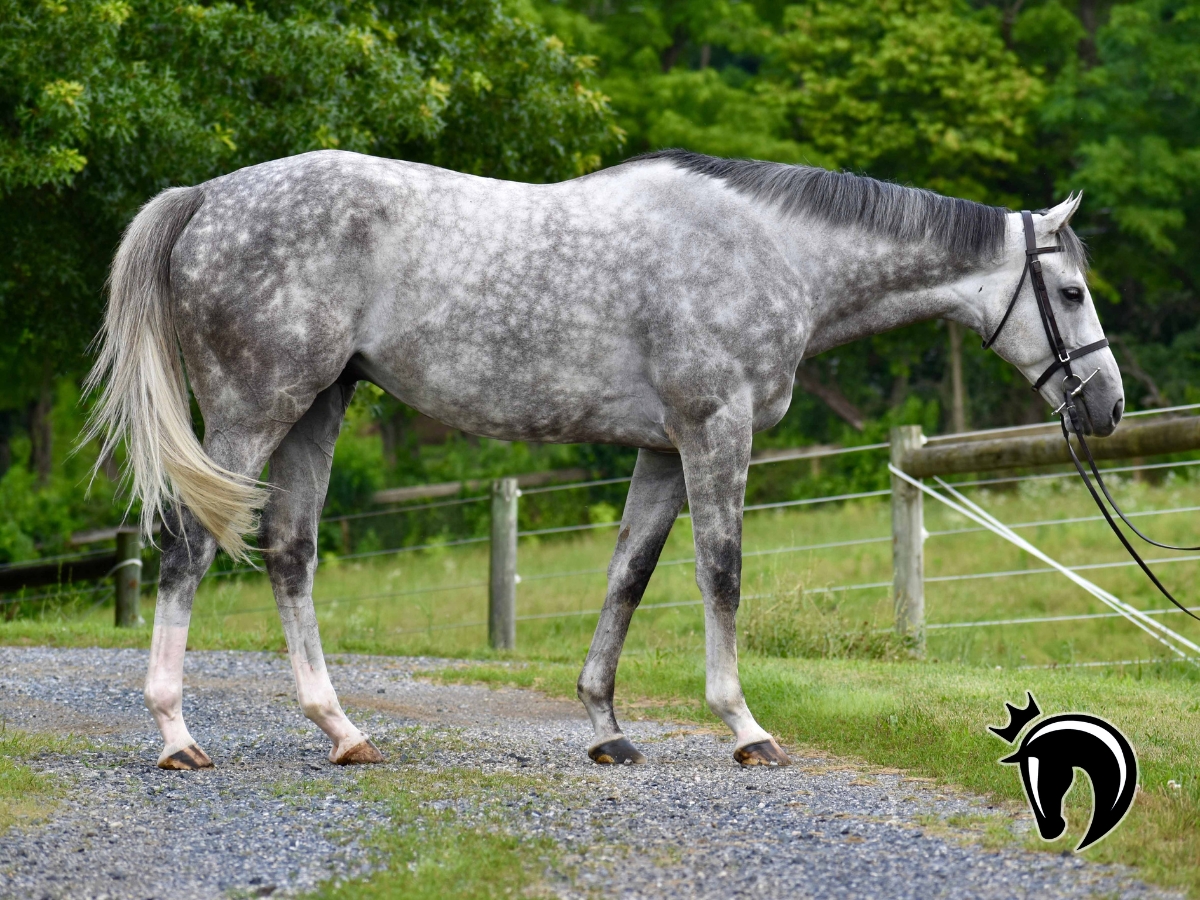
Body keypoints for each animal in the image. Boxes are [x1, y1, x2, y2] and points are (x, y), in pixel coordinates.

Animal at [84, 148, 1124, 770]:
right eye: (1071, 293)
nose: (1107, 407)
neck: (770, 250)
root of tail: (206, 198)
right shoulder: (715, 431)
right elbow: (720, 576)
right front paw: (746, 727)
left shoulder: (661, 451)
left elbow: (628, 577)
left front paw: (606, 727)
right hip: (255, 411)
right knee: (187, 546)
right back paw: (175, 733)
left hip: (316, 410)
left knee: (290, 553)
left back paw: (343, 732)